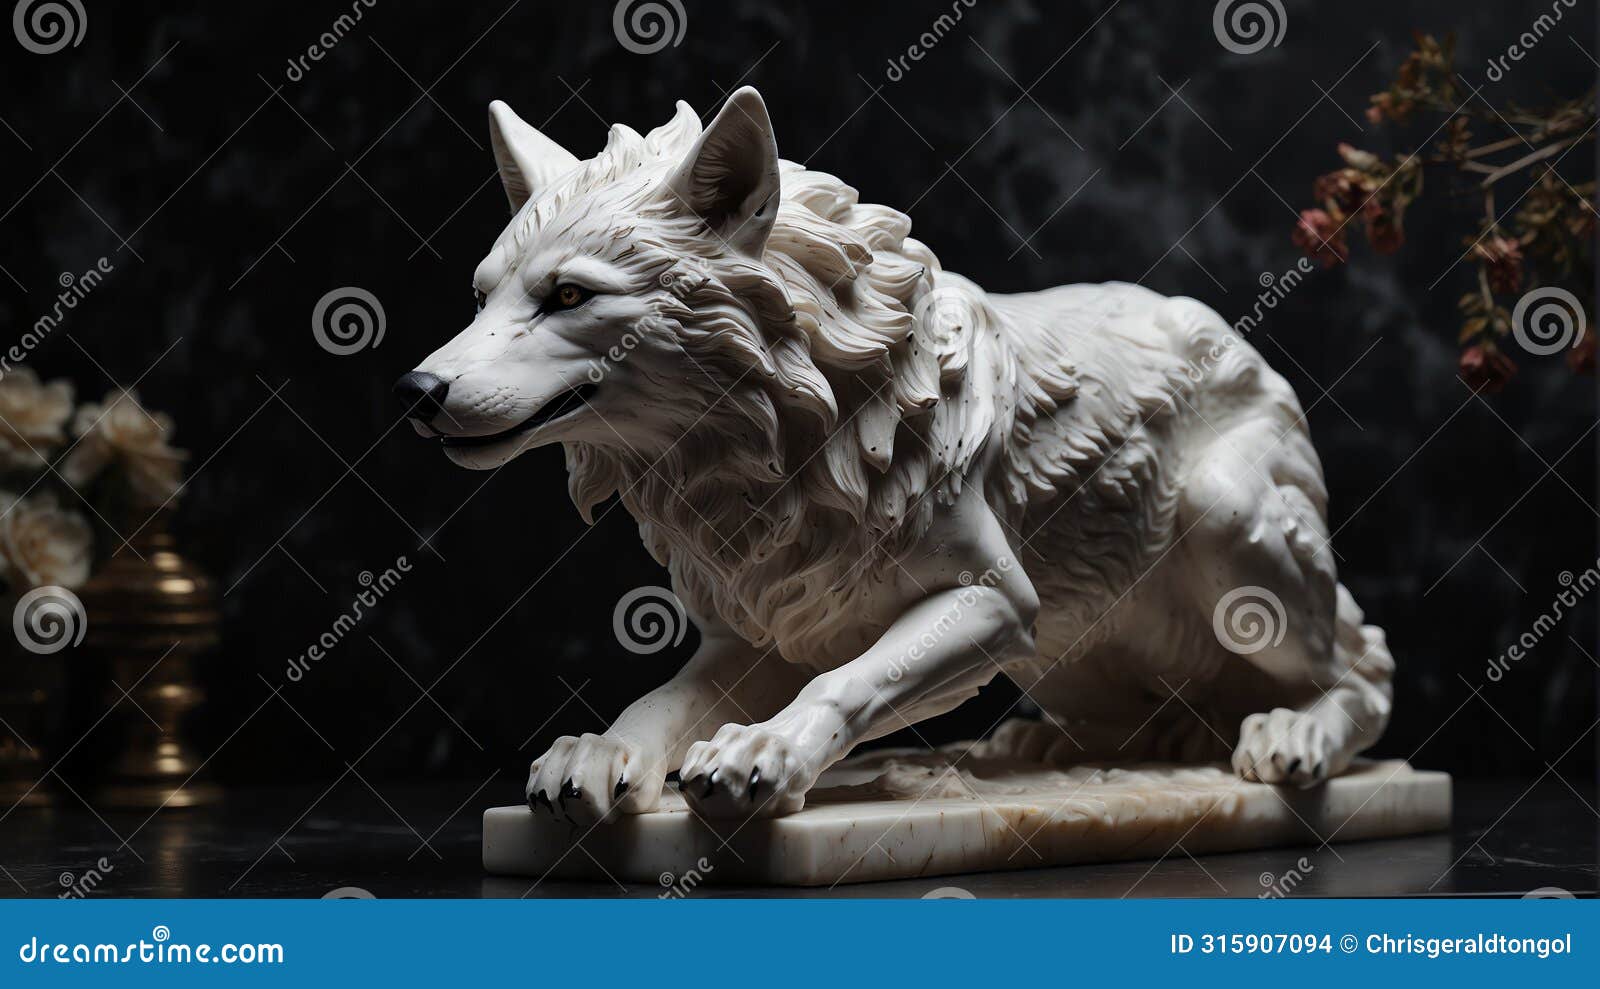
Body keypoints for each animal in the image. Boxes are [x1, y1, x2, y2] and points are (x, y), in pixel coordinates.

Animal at [396, 87, 1394, 822]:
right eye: (481, 297)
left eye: (569, 295)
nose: (416, 391)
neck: (794, 431)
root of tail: (1239, 344)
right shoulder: (766, 632)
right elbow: (658, 705)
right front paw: (601, 753)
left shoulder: (995, 600)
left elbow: (846, 683)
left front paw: (766, 750)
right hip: (1068, 638)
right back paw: (1042, 748)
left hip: (1223, 520)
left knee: (1365, 663)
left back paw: (1293, 736)